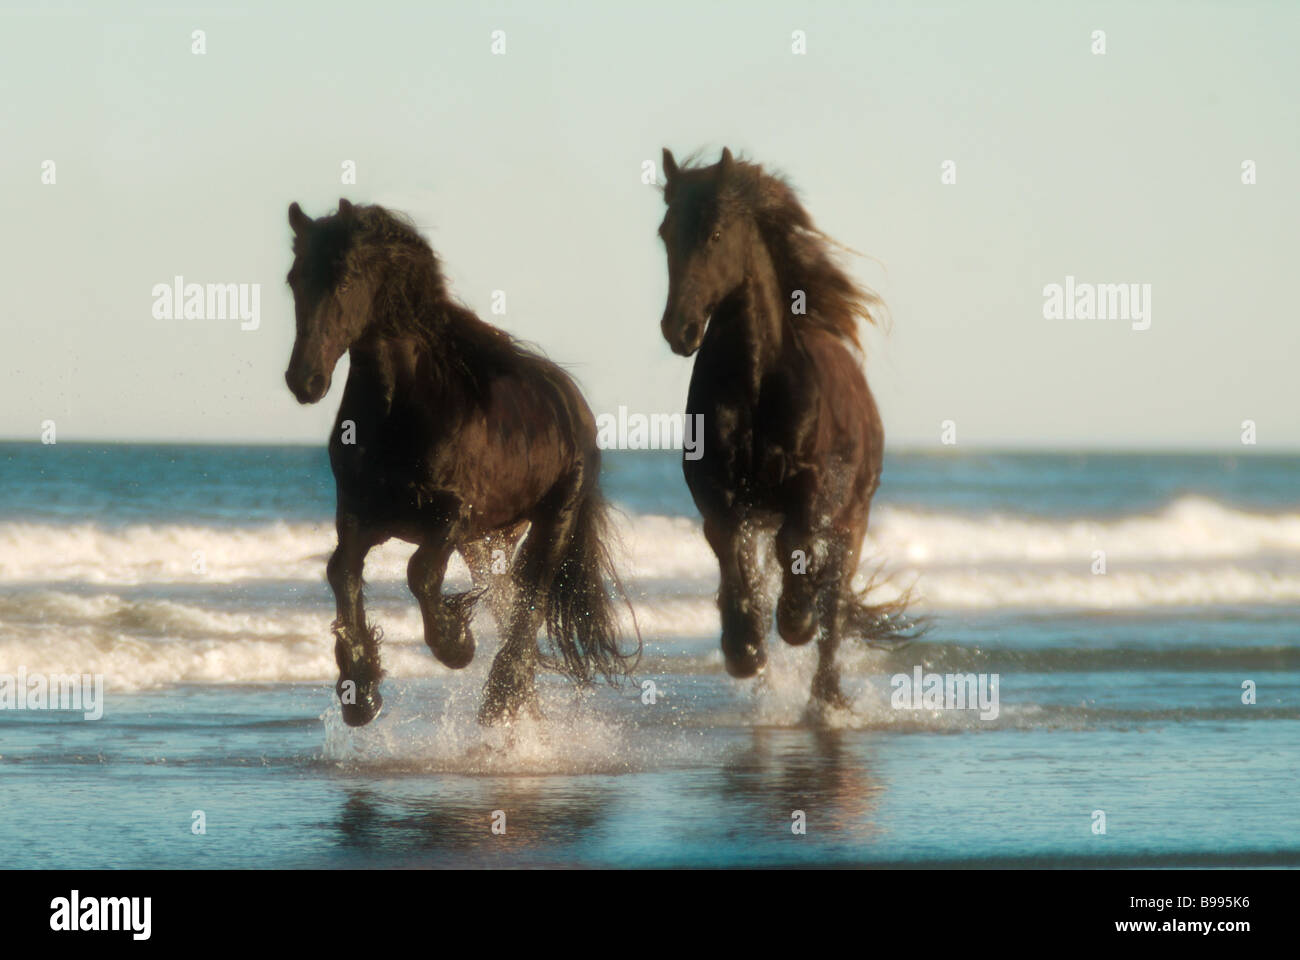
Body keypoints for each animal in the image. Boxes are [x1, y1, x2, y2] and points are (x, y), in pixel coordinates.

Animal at [284, 198, 639, 727]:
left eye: (344, 280)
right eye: (294, 280)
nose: (304, 380)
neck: (400, 410)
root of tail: (572, 402)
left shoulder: (452, 513)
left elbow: (420, 573)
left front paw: (455, 644)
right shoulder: (360, 516)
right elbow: (341, 574)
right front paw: (360, 692)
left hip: (554, 521)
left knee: (529, 603)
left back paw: (500, 700)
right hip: (486, 542)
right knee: (506, 600)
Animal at [656, 148, 920, 711]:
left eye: (715, 233)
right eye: (666, 232)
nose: (679, 329)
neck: (756, 386)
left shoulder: (809, 485)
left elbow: (794, 547)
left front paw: (794, 619)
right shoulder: (718, 492)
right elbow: (732, 553)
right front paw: (744, 646)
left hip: (853, 521)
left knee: (836, 604)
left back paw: (826, 695)